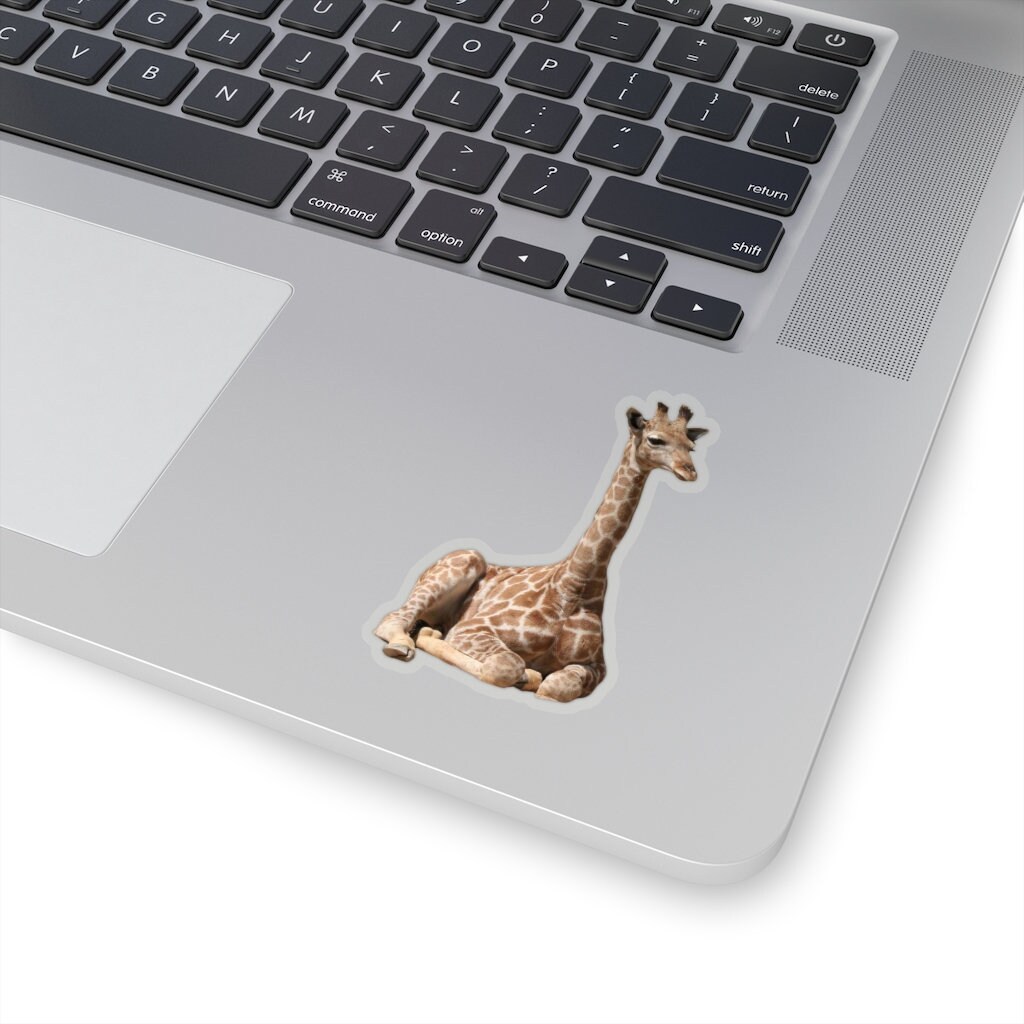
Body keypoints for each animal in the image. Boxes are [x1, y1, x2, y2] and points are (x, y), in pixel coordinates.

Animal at [373, 402, 710, 703]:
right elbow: (506, 666)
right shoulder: (472, 629)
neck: (576, 584)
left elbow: (557, 688)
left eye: (691, 447)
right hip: (464, 560)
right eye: (655, 439)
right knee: (392, 621)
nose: (689, 472)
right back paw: (406, 643)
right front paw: (527, 675)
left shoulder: (596, 668)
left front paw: (536, 679)